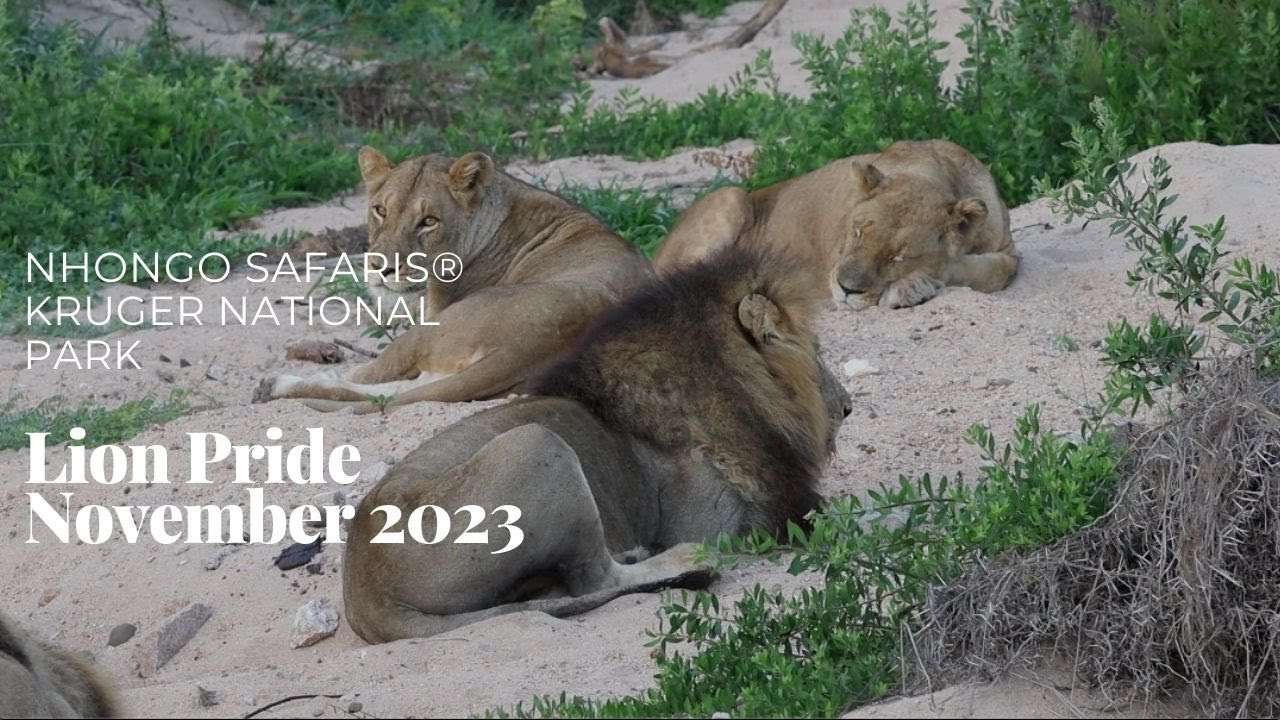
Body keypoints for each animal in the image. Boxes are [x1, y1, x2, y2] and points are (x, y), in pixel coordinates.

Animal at [254, 147, 653, 411]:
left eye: (428, 221)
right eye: (380, 210)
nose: (380, 267)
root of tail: (532, 345)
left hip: (430, 330)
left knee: (365, 378)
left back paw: (277, 384)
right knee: (397, 391)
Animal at [342, 246, 853, 643]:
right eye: (817, 353)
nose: (848, 407)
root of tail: (366, 597)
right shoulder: (718, 521)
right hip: (537, 446)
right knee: (594, 577)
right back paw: (680, 560)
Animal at [653, 139, 1019, 310]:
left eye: (898, 257)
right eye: (857, 231)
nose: (845, 290)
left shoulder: (1009, 250)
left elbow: (990, 271)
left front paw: (910, 285)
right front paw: (911, 288)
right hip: (731, 197)